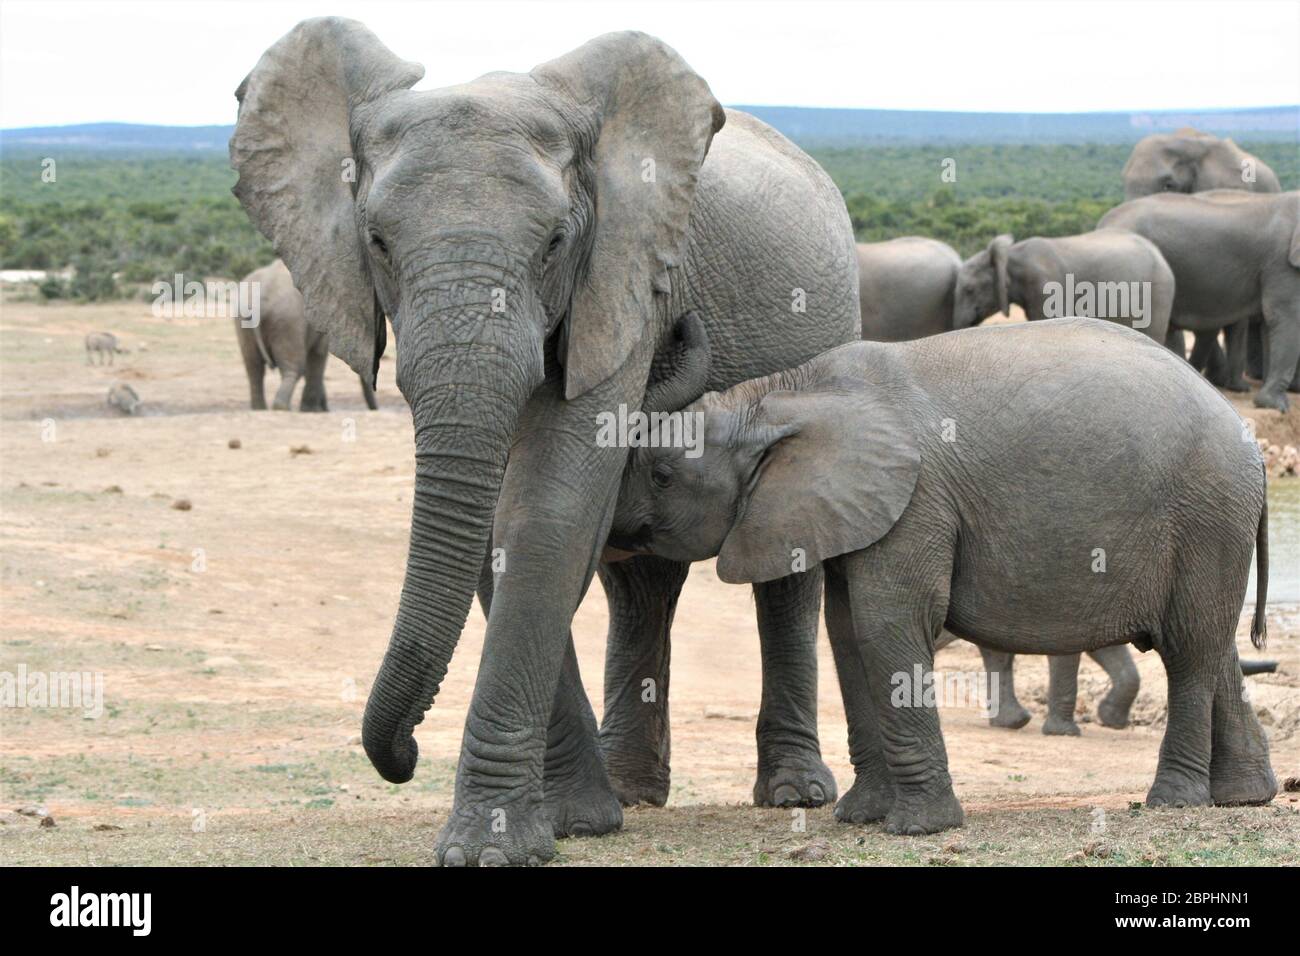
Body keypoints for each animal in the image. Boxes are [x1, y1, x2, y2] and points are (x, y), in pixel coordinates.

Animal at [234, 260, 379, 412]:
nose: (375, 409)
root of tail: (263, 293)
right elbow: (319, 354)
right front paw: (313, 410)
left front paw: (319, 409)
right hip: (288, 319)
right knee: (295, 367)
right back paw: (283, 408)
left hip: (243, 320)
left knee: (254, 368)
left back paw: (260, 408)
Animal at [607, 317, 1275, 834]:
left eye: (662, 475)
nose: (681, 319)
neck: (778, 396)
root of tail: (1253, 445)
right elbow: (848, 632)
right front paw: (860, 817)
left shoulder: (915, 501)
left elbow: (888, 624)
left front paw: (916, 829)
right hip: (1215, 521)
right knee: (1213, 642)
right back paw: (1246, 797)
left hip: (1205, 515)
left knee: (1188, 647)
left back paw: (1172, 802)